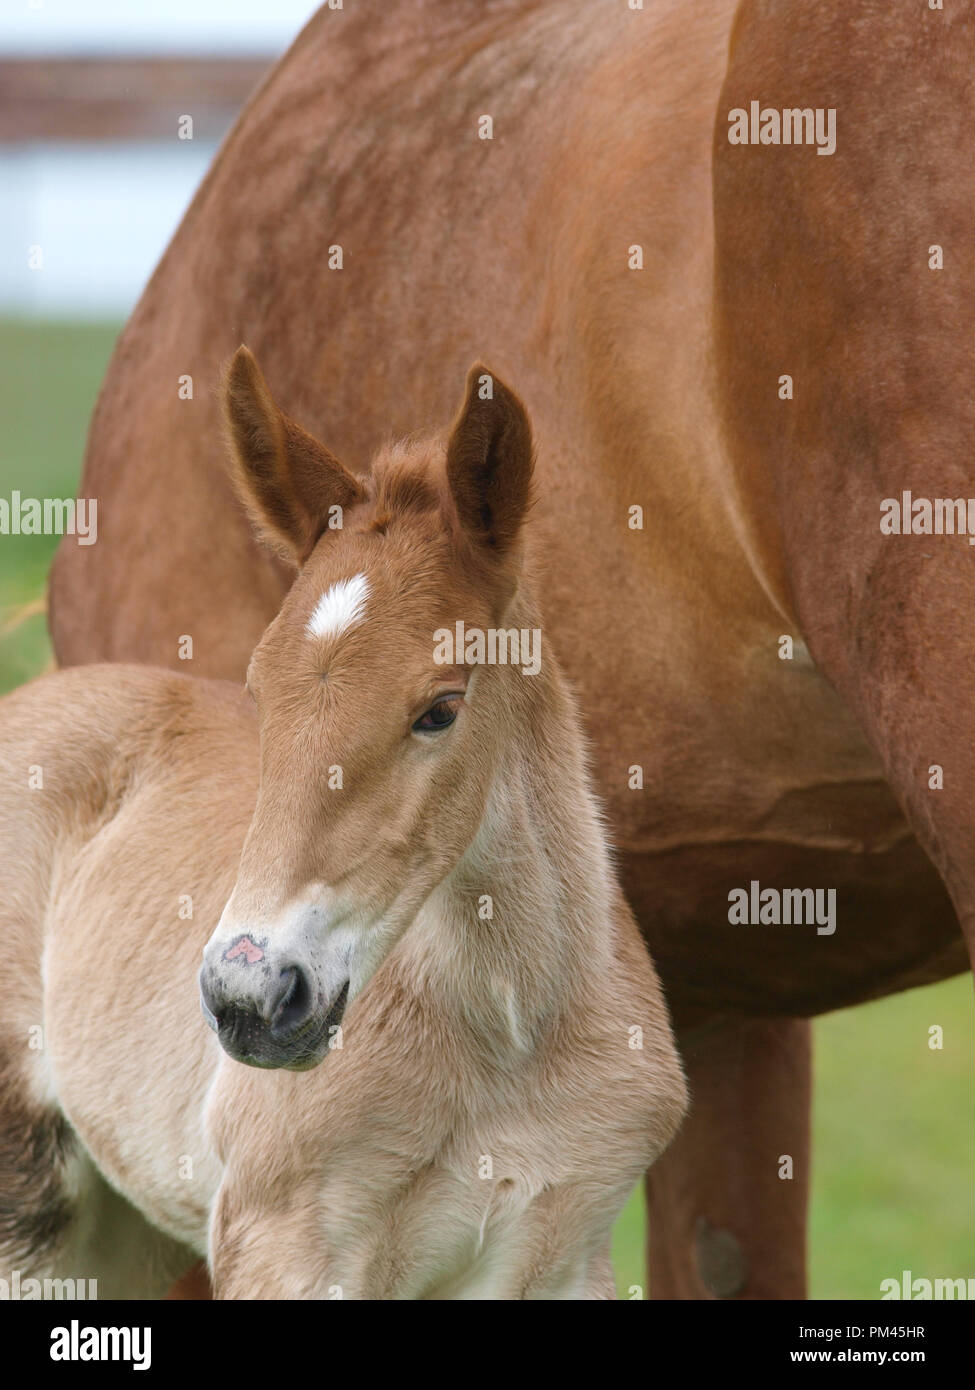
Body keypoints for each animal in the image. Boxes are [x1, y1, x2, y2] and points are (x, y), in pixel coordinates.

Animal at [0, 351, 686, 1299]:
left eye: (440, 708)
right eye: (259, 691)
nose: (249, 996)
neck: (505, 1038)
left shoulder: (563, 1252)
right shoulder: (282, 1247)